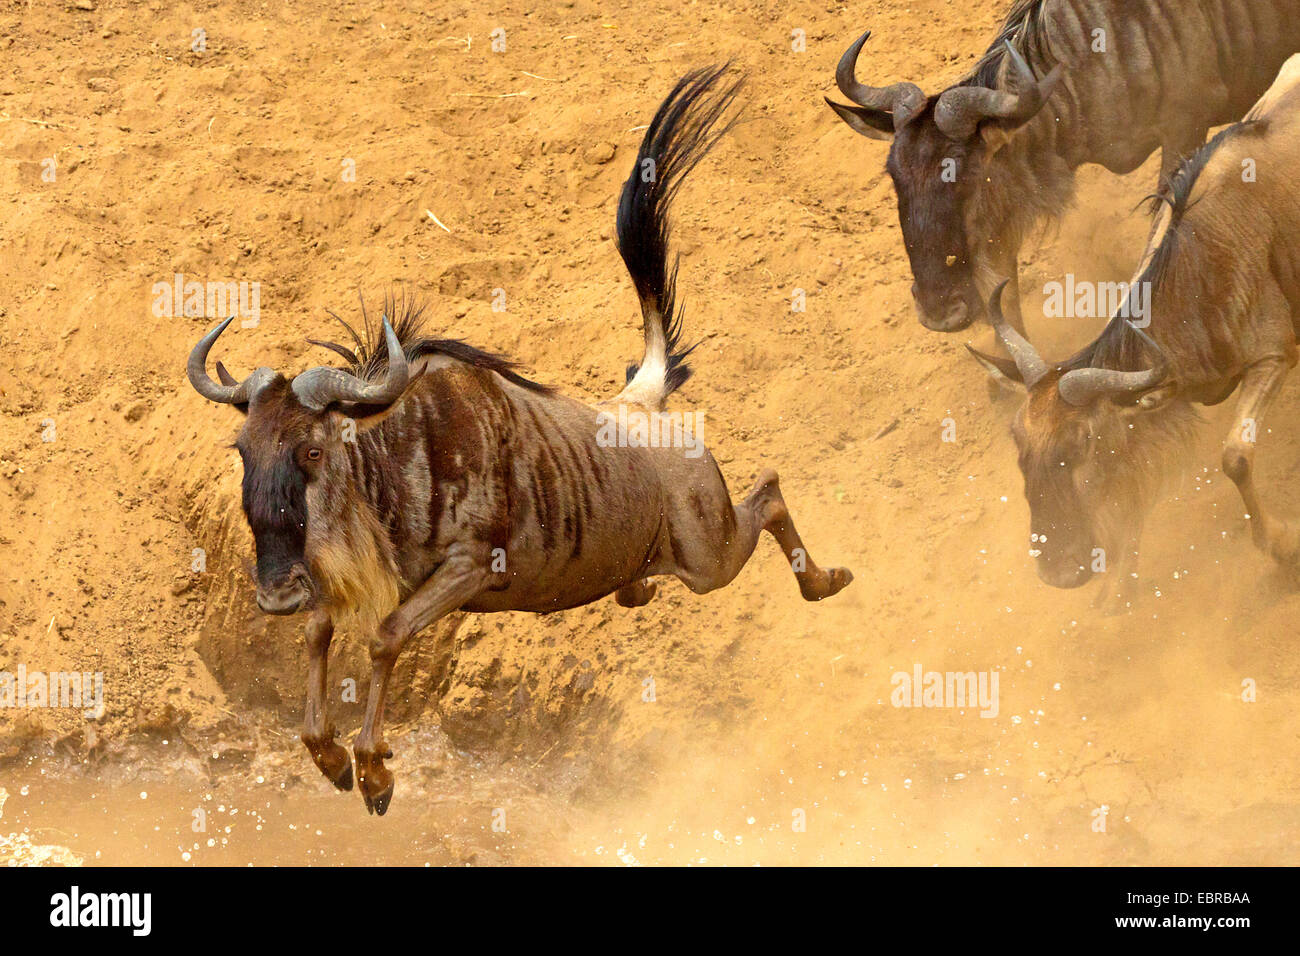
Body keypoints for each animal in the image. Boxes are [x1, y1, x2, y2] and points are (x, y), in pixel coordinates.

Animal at [185, 67, 853, 814]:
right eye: (244, 451)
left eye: (312, 450)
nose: (271, 593)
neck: (398, 454)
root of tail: (642, 402)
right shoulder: (340, 573)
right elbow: (318, 631)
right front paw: (329, 755)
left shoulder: (469, 570)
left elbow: (384, 639)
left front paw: (375, 769)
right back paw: (651, 591)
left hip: (709, 555)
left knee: (766, 491)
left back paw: (826, 581)